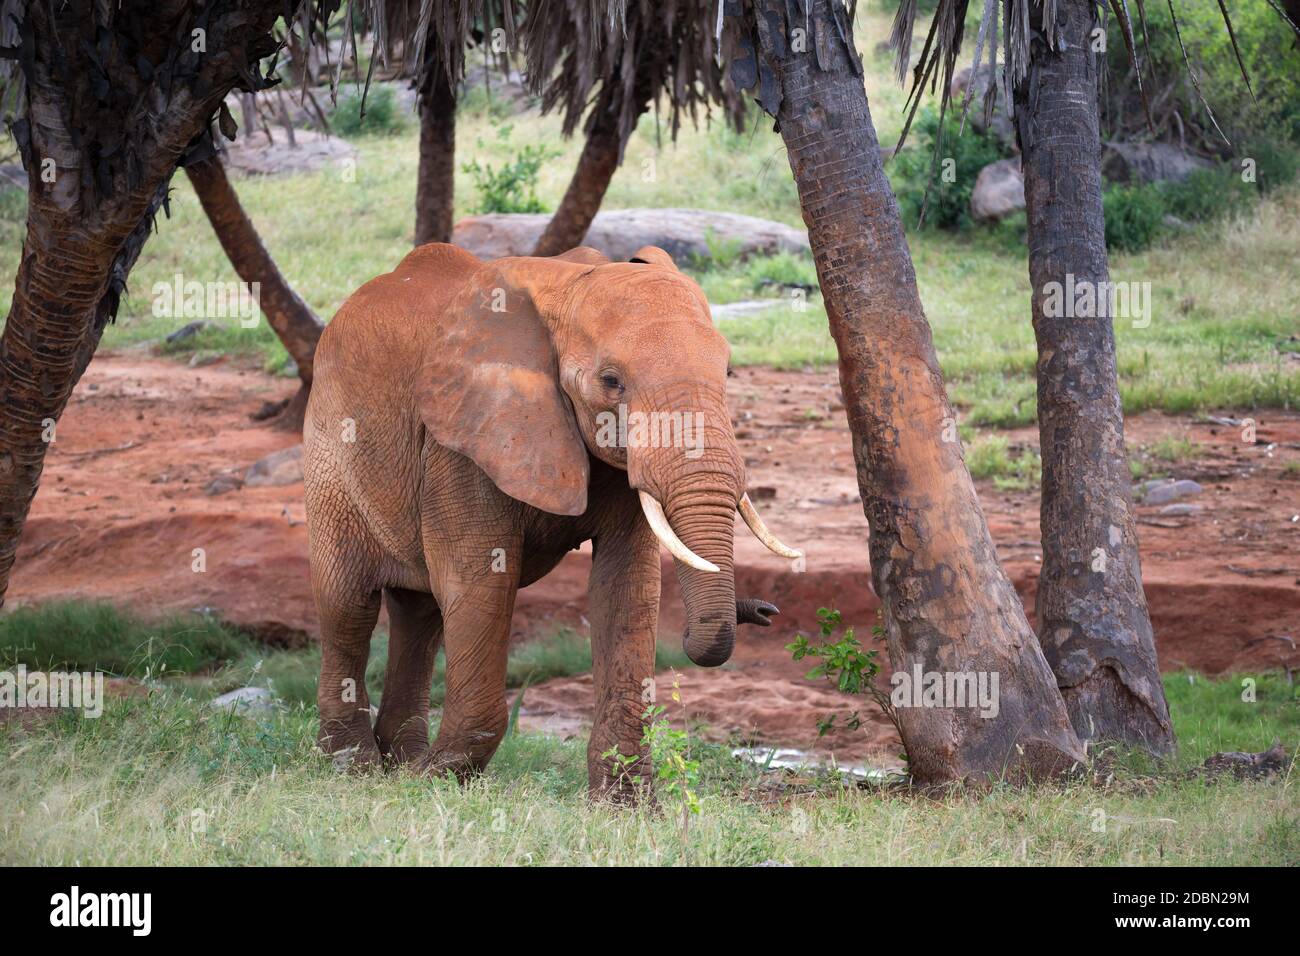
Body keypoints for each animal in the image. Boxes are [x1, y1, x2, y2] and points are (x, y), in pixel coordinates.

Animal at [302, 241, 801, 797]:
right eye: (611, 382)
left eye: (729, 373)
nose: (764, 610)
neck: (569, 287)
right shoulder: (461, 440)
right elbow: (480, 582)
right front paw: (436, 782)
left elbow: (626, 588)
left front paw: (625, 805)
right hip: (331, 453)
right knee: (348, 605)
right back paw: (355, 766)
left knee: (419, 614)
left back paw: (400, 763)